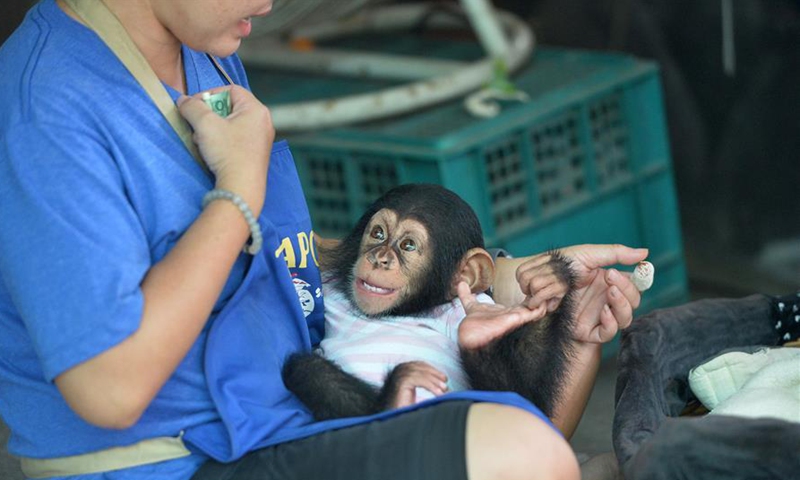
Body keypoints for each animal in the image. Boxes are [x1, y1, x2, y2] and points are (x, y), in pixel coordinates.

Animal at [282, 183, 576, 421]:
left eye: (408, 246)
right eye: (378, 233)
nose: (380, 259)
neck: (406, 310)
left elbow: (521, 399)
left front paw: (549, 284)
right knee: (302, 367)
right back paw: (395, 396)